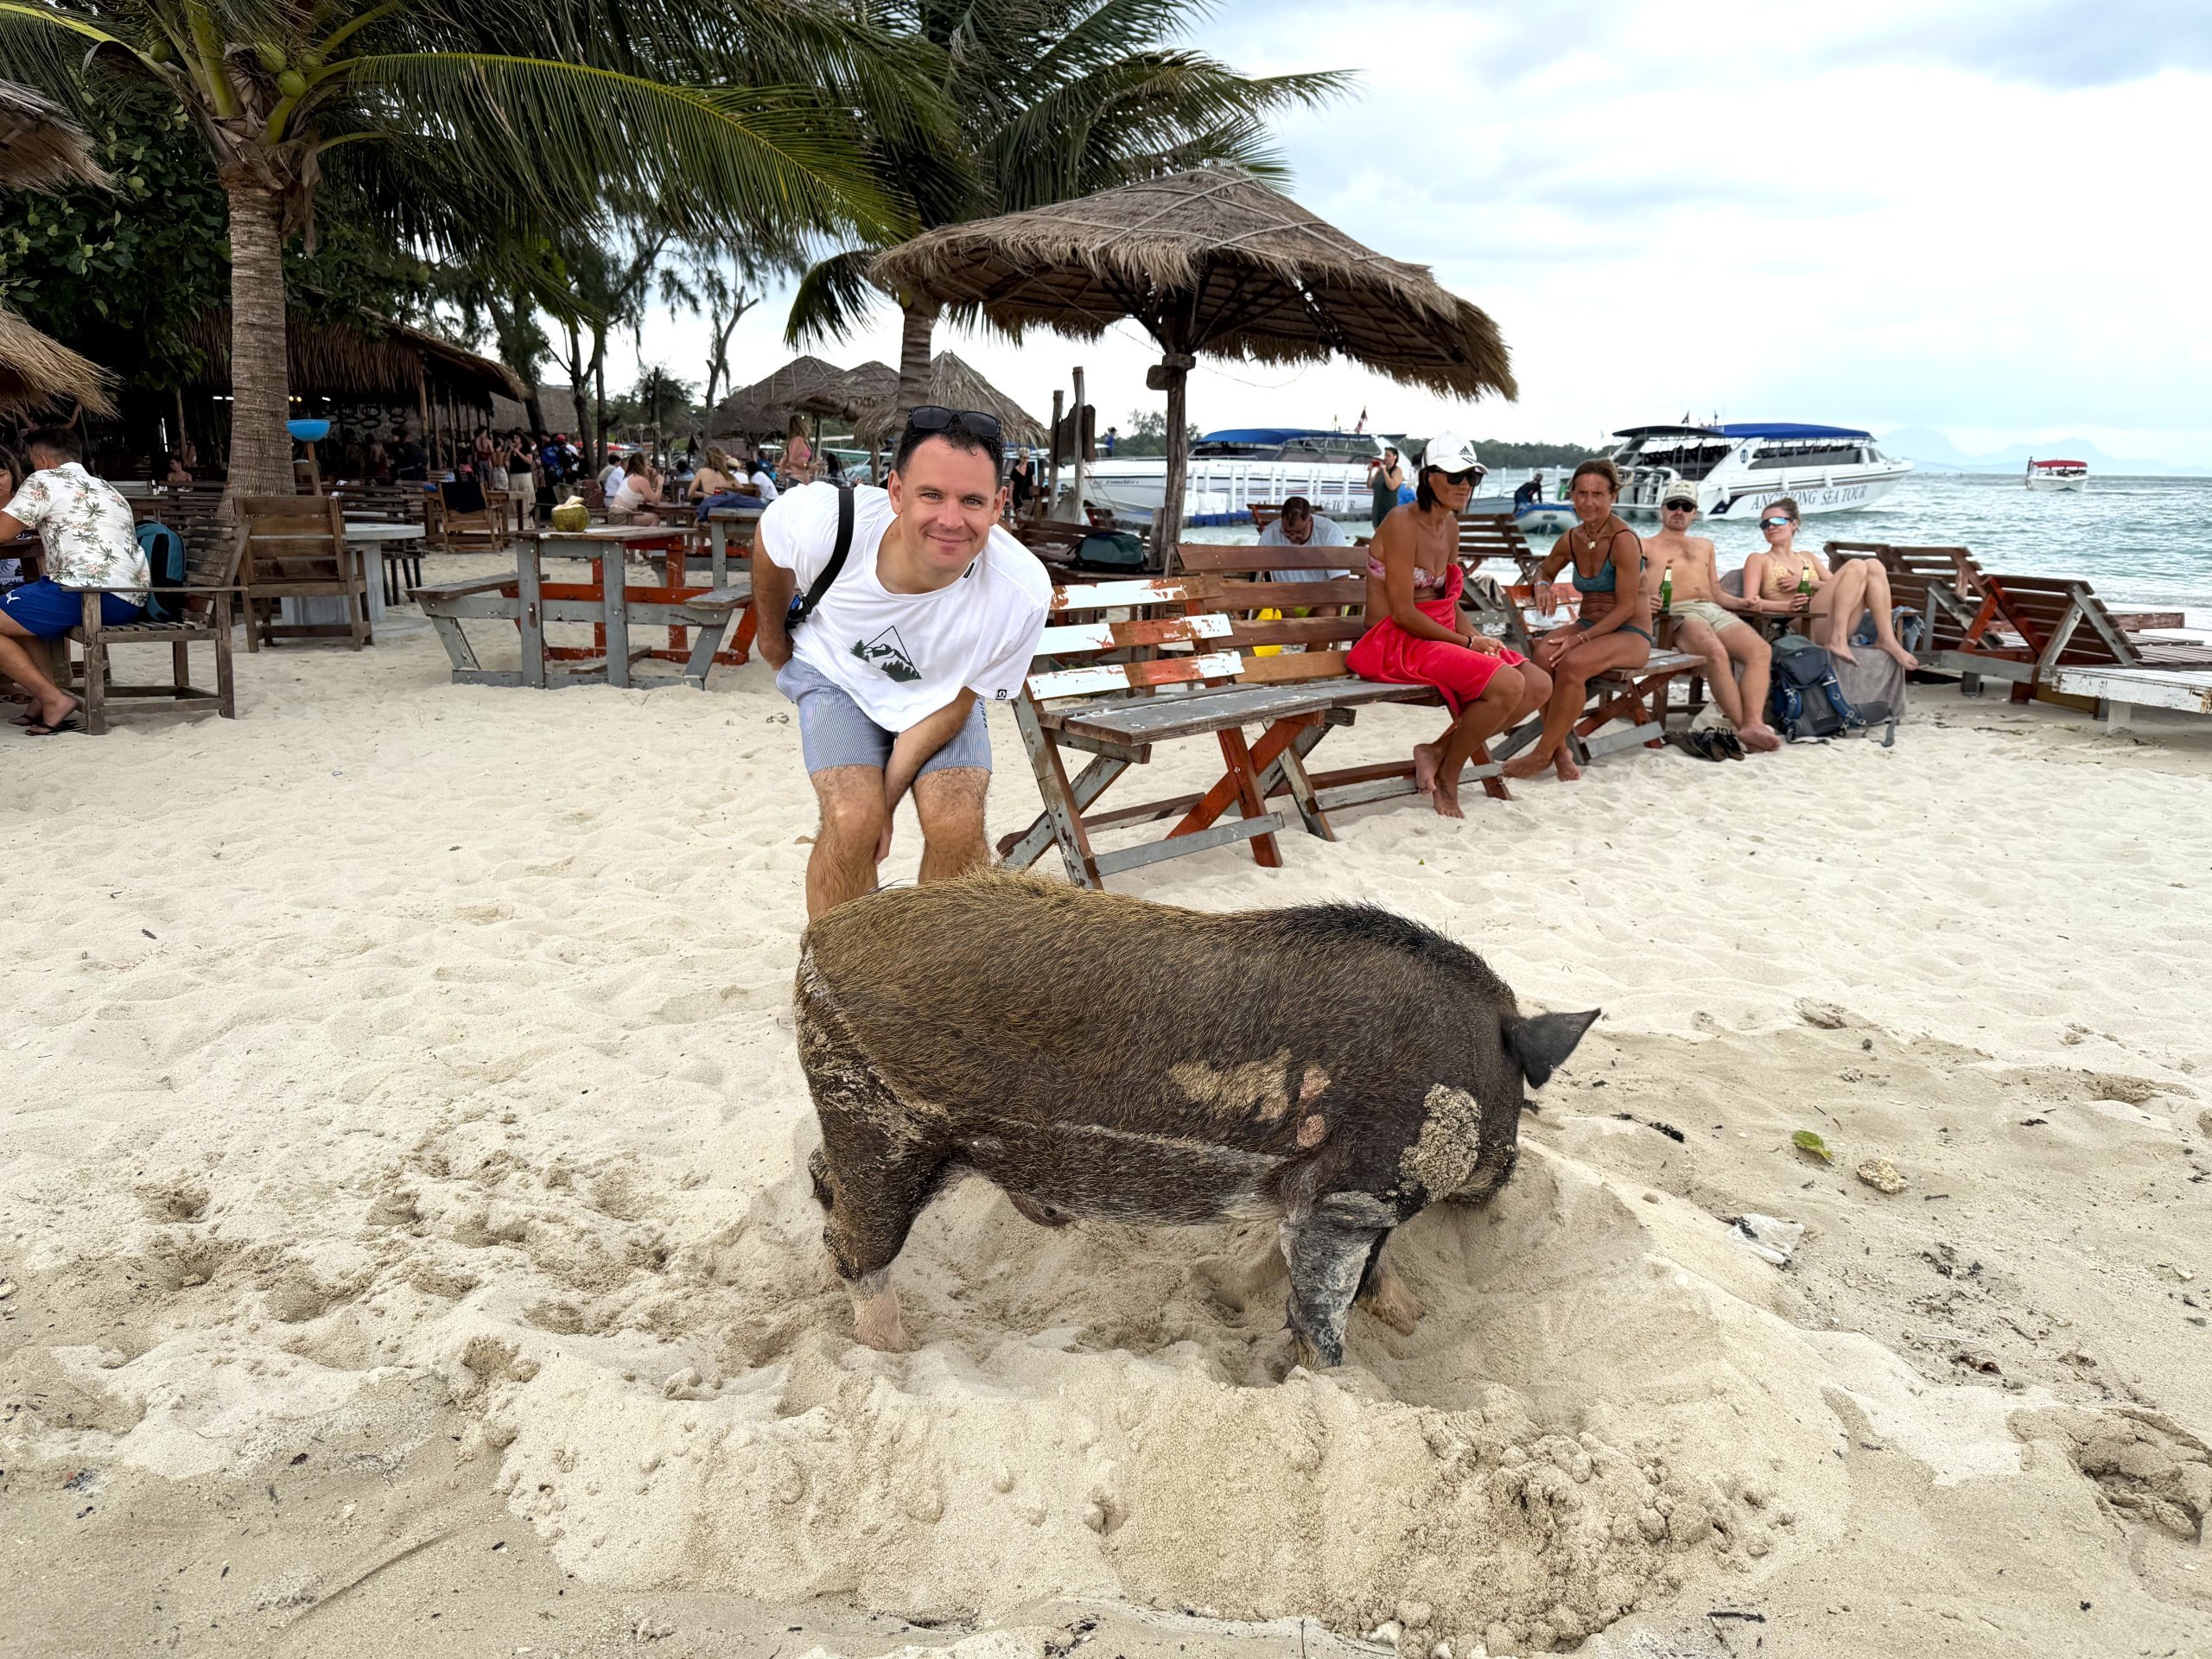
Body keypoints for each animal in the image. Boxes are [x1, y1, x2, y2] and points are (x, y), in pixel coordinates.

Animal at [794, 872, 1597, 1365]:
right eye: (1527, 1097)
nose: (1507, 1181)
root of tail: (816, 939)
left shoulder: (1308, 1195)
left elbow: (1306, 1261)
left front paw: (1411, 1318)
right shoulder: (1352, 1196)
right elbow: (1324, 1312)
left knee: (820, 1183)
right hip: (877, 1126)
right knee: (855, 1246)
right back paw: (895, 1353)